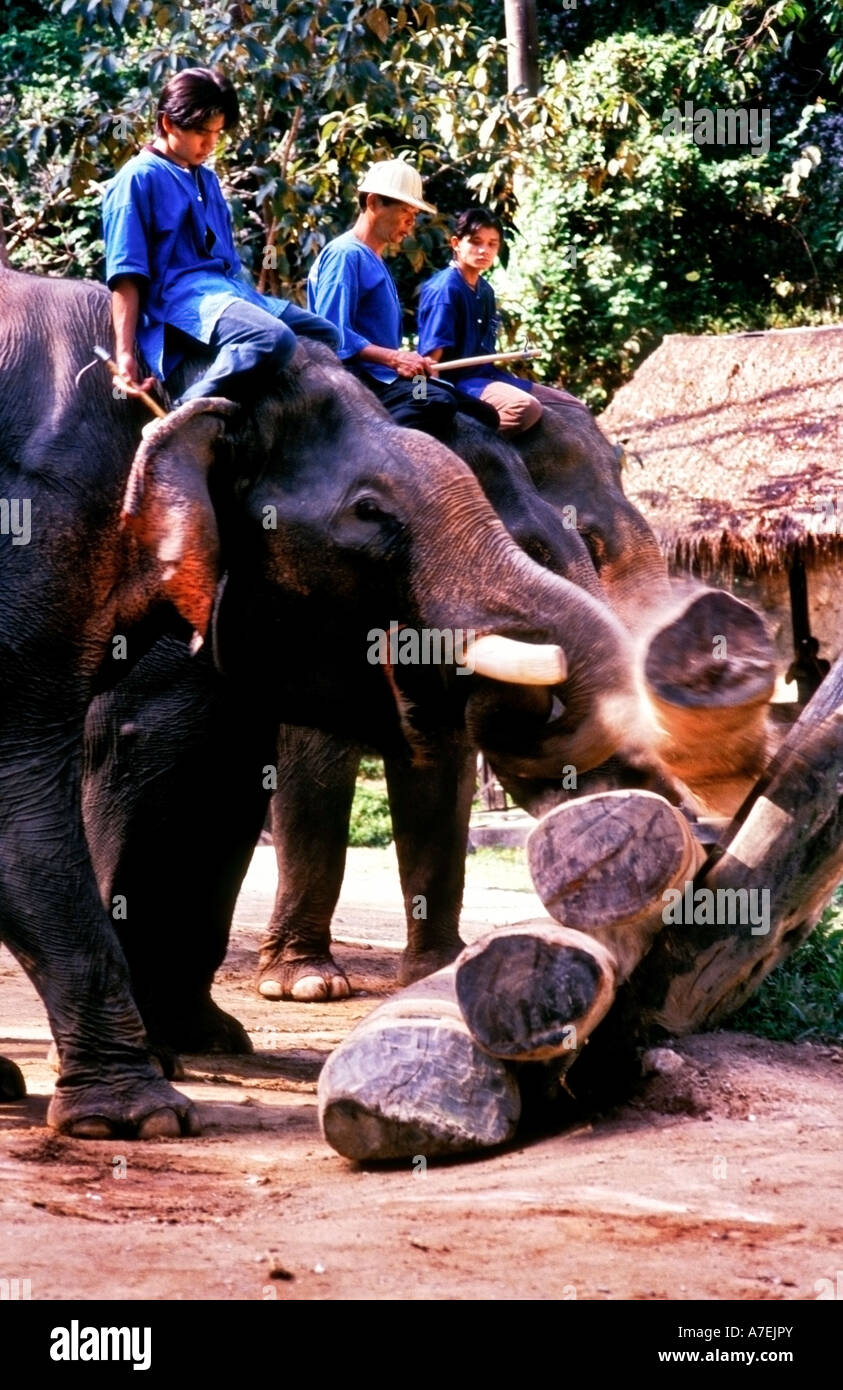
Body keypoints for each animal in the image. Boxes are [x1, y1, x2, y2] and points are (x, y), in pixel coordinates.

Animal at [0, 265, 648, 1137]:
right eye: (371, 518)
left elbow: (224, 796)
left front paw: (202, 1043)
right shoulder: (40, 538)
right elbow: (95, 779)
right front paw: (142, 1111)